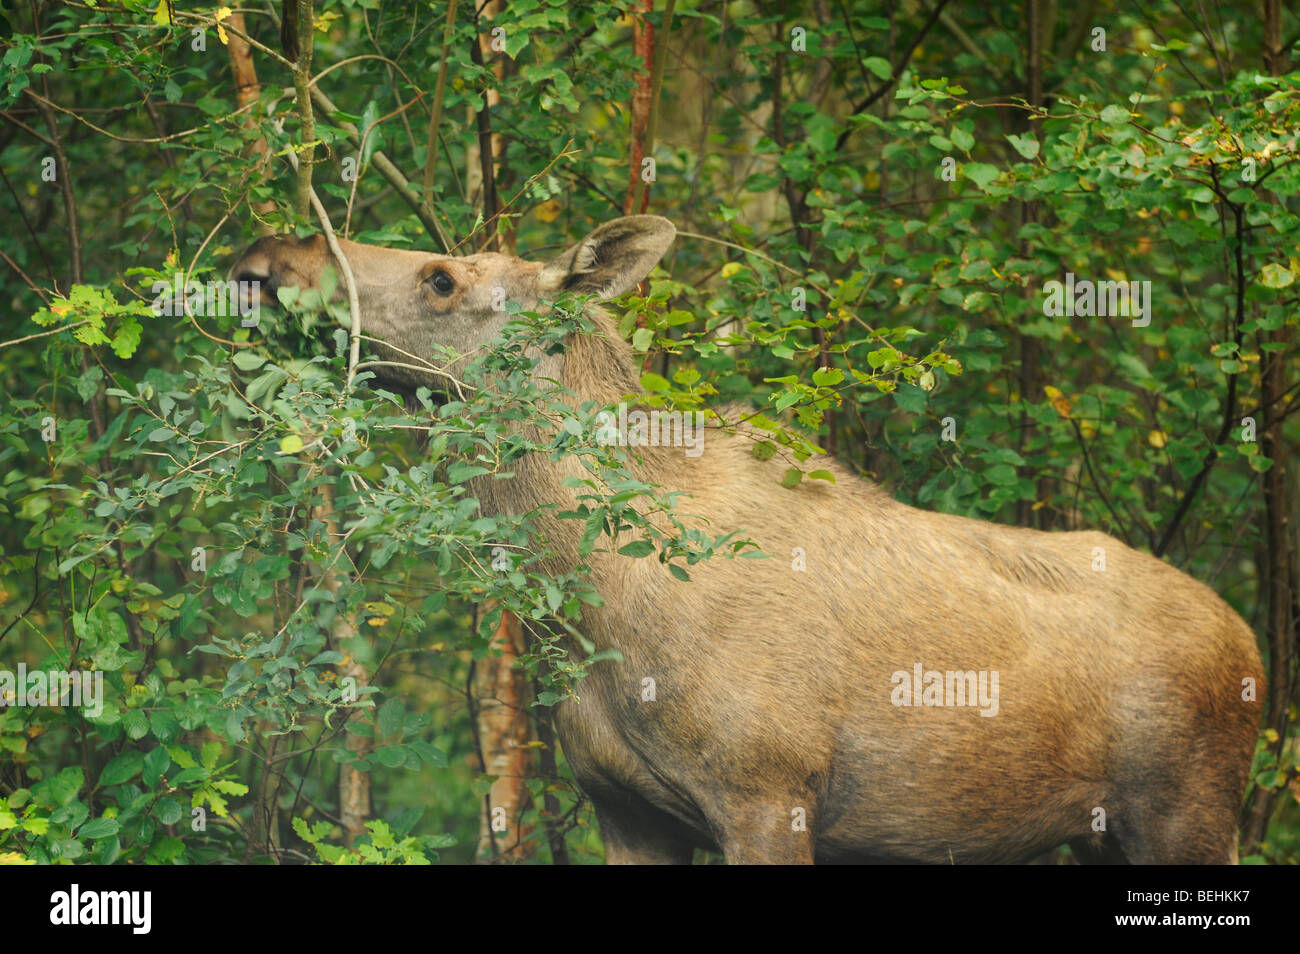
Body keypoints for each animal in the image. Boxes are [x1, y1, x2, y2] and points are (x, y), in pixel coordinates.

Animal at [232, 215, 1265, 864]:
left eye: (442, 279)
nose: (269, 255)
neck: (596, 609)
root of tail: (1251, 643)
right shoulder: (627, 812)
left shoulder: (769, 794)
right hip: (1100, 833)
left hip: (1191, 811)